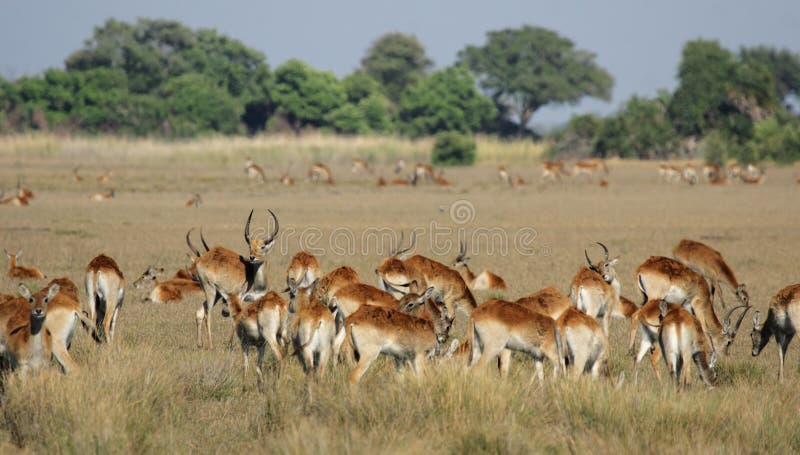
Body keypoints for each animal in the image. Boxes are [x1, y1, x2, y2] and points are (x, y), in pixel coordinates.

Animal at [194, 210, 279, 349]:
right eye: (250, 246)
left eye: (262, 247)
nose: (252, 257)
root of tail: (201, 259)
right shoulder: (240, 296)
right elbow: (236, 318)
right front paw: (230, 345)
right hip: (211, 290)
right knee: (208, 314)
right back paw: (211, 346)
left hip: (216, 294)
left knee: (199, 312)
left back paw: (200, 344)